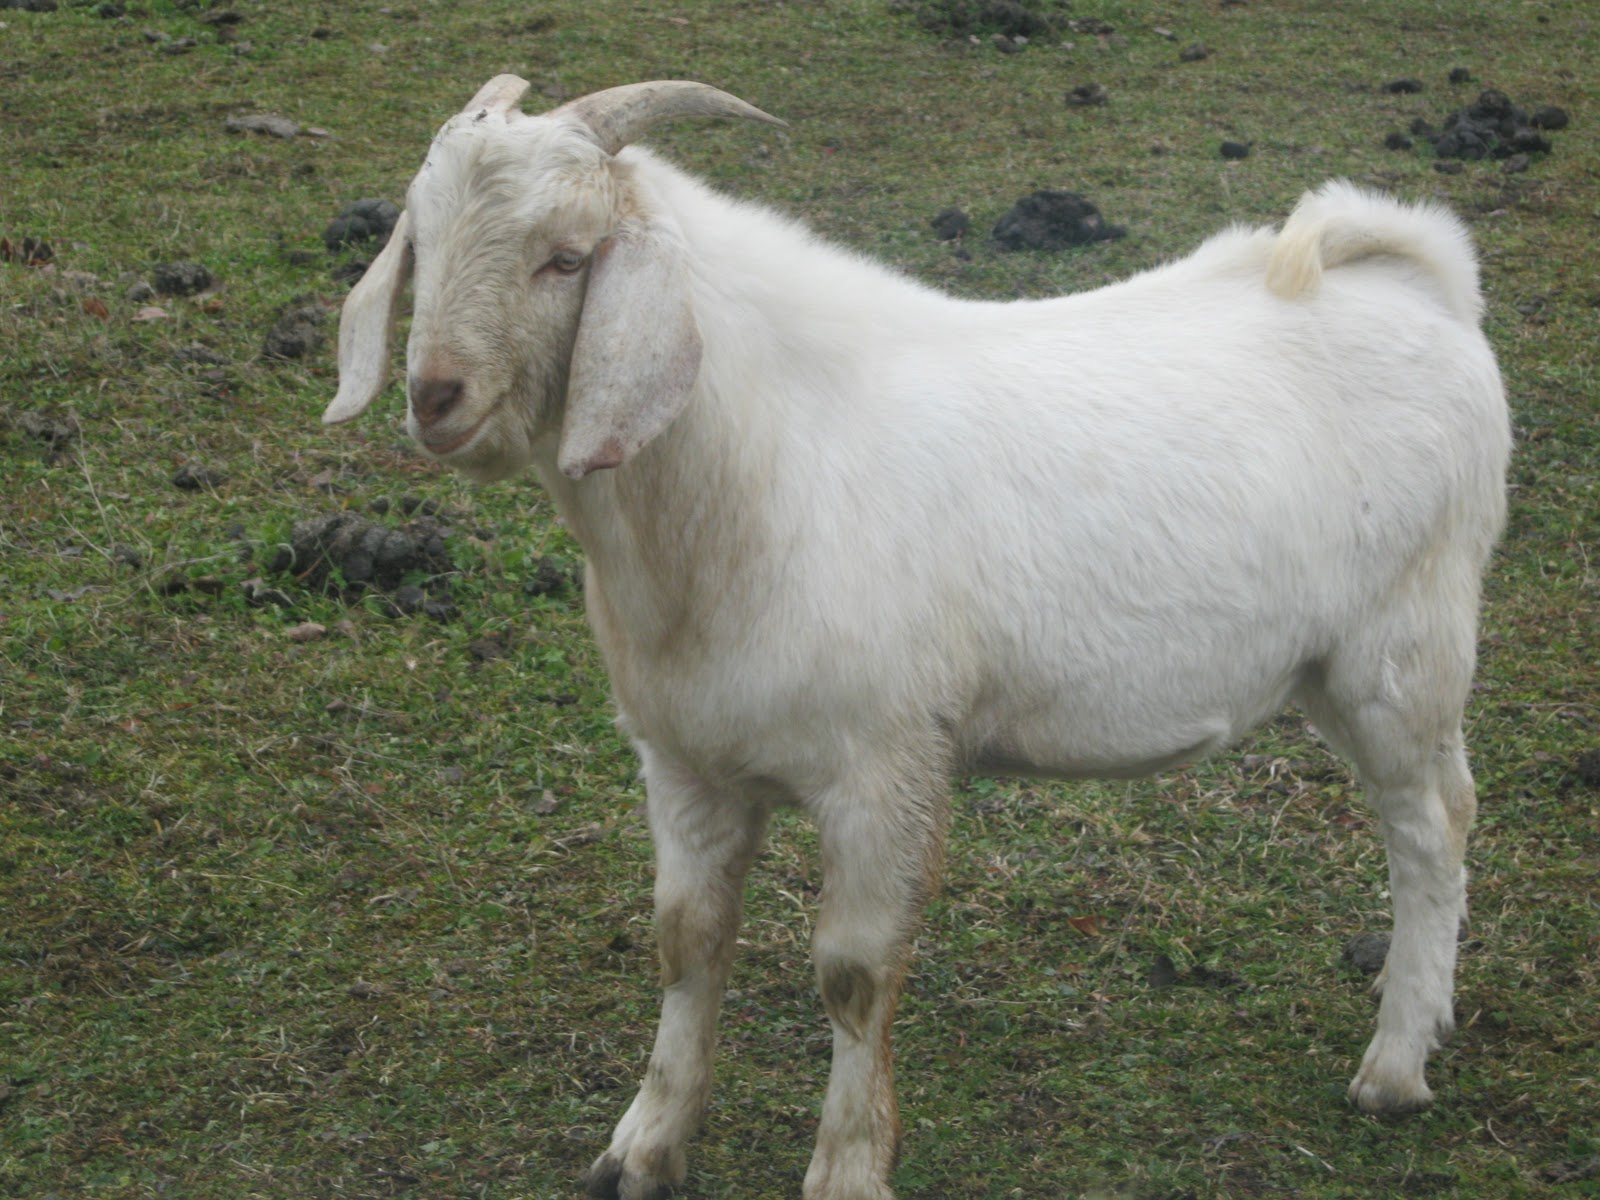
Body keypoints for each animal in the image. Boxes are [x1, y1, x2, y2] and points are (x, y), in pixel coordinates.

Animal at [325, 77, 1510, 1200]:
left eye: (566, 258)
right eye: (422, 243)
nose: (436, 397)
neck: (761, 473)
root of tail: (1417, 278)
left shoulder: (883, 766)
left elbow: (853, 975)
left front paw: (847, 1167)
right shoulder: (685, 761)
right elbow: (686, 942)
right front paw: (643, 1148)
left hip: (1404, 646)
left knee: (1433, 821)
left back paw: (1396, 1064)